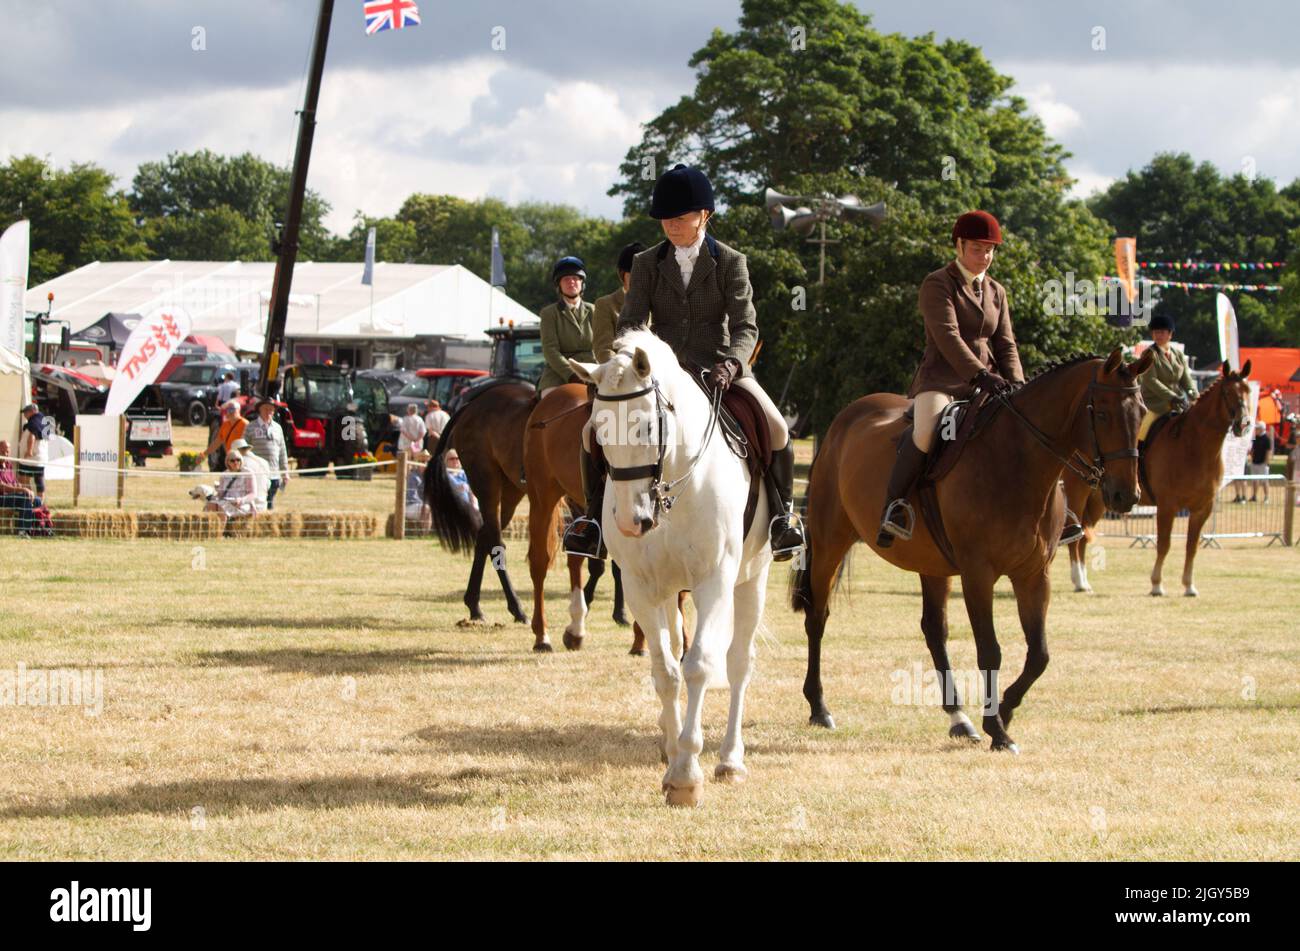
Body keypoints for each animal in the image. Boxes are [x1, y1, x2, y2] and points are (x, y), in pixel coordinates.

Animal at [568, 330, 772, 807]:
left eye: (645, 426)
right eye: (597, 430)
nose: (631, 521)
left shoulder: (714, 581)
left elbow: (699, 666)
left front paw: (686, 776)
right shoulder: (641, 587)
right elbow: (666, 671)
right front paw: (675, 755)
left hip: (752, 578)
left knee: (739, 664)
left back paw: (730, 760)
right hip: (667, 591)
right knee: (676, 650)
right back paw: (670, 739)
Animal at [793, 348, 1154, 752]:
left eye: (1141, 412)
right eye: (1103, 413)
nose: (1126, 496)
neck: (1017, 460)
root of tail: (845, 418)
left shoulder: (1033, 574)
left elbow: (1039, 654)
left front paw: (1005, 712)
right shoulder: (978, 573)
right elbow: (990, 650)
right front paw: (997, 728)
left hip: (930, 563)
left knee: (934, 630)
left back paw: (959, 718)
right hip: (830, 542)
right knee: (818, 617)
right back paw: (819, 707)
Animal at [1064, 360, 1252, 597]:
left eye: (1248, 391)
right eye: (1228, 392)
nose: (1243, 424)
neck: (1194, 444)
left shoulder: (1202, 508)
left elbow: (1192, 546)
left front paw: (1189, 585)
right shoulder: (1167, 506)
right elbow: (1164, 544)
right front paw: (1156, 584)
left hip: (1100, 500)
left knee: (1083, 537)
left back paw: (1084, 581)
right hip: (1078, 493)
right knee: (1075, 537)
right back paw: (1078, 580)